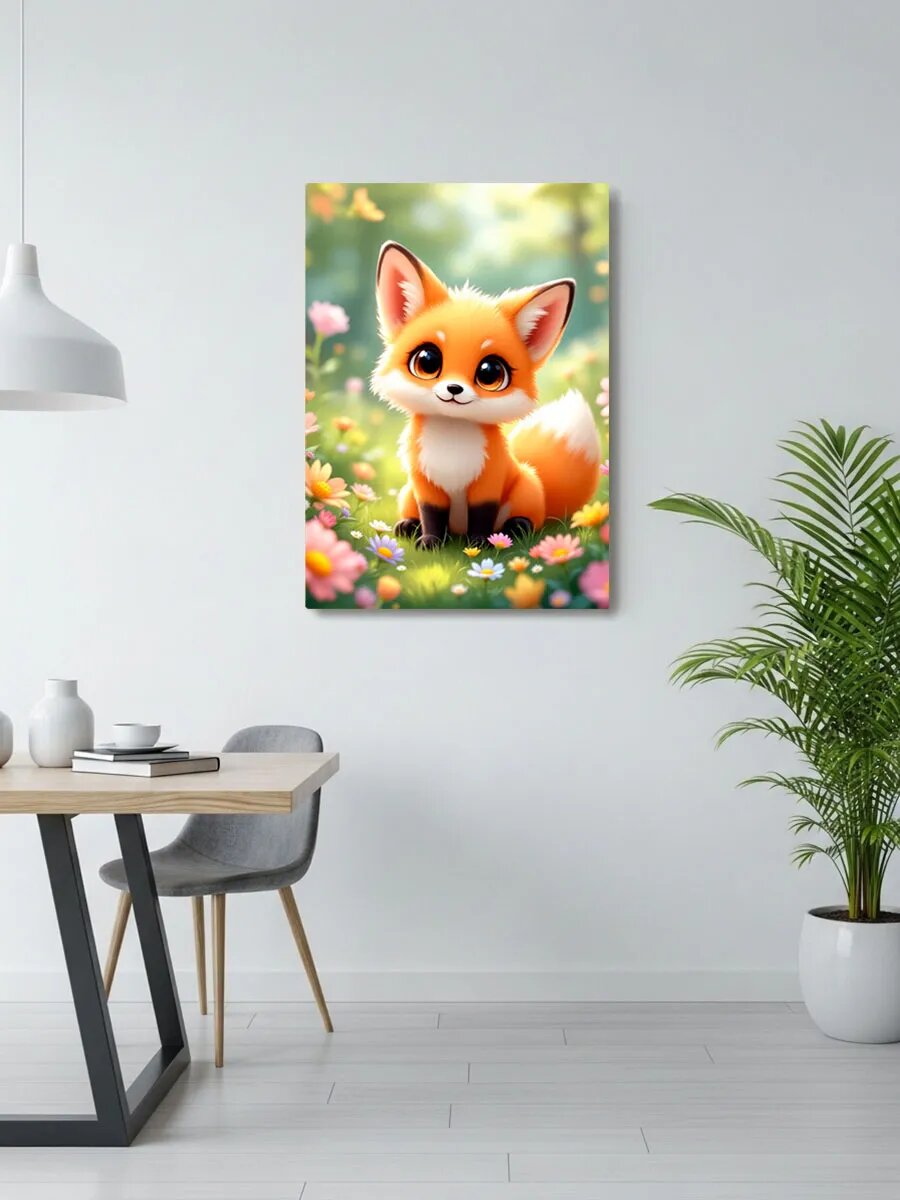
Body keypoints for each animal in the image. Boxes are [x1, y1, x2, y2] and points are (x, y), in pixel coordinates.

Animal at [370, 241, 602, 548]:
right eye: (427, 361)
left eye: (490, 373)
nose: (454, 389)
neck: (452, 443)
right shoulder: (424, 483)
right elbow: (431, 514)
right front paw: (430, 541)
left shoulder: (488, 482)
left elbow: (482, 514)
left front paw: (481, 543)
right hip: (407, 493)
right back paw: (410, 526)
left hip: (524, 490)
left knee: (527, 520)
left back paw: (515, 529)